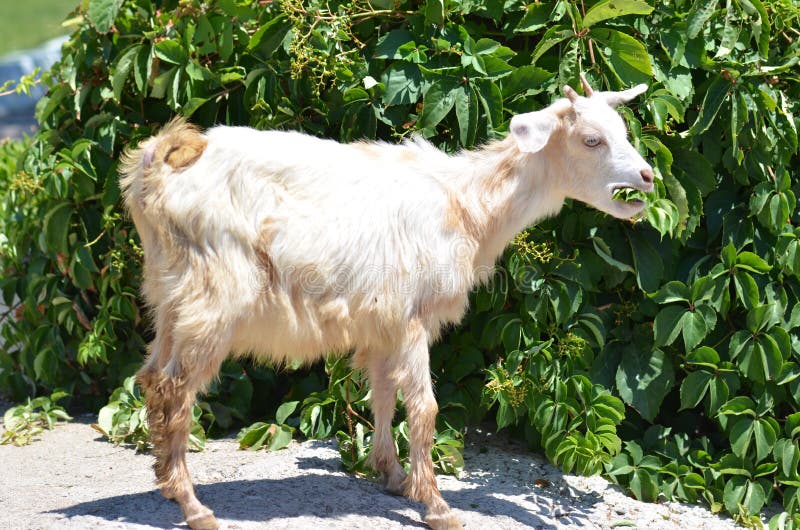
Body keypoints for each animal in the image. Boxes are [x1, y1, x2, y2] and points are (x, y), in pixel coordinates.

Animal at [118, 74, 654, 530]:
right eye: (591, 140)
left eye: (623, 130)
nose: (648, 177)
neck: (467, 204)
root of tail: (157, 165)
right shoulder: (411, 315)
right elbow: (424, 407)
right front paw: (436, 505)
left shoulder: (382, 321)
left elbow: (382, 393)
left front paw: (392, 476)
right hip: (214, 296)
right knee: (176, 389)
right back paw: (193, 506)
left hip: (171, 297)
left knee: (150, 377)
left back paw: (166, 483)